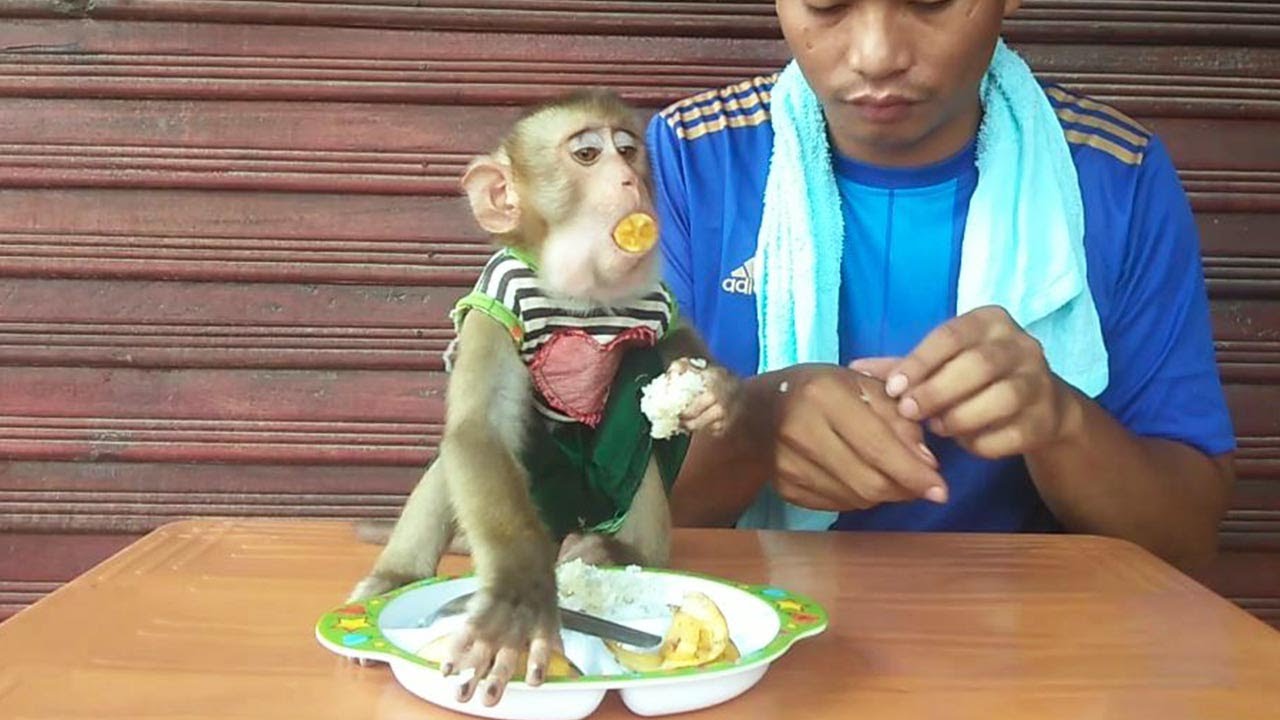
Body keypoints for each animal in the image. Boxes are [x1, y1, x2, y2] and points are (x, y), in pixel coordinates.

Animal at [346, 90, 741, 707]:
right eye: (587, 154)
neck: (585, 296)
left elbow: (677, 342)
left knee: (641, 369)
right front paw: (519, 595)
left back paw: (622, 555)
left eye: (628, 149)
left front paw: (715, 394)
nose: (629, 180)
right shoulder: (497, 297)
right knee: (456, 456)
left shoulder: (656, 295)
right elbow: (479, 431)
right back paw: (396, 580)